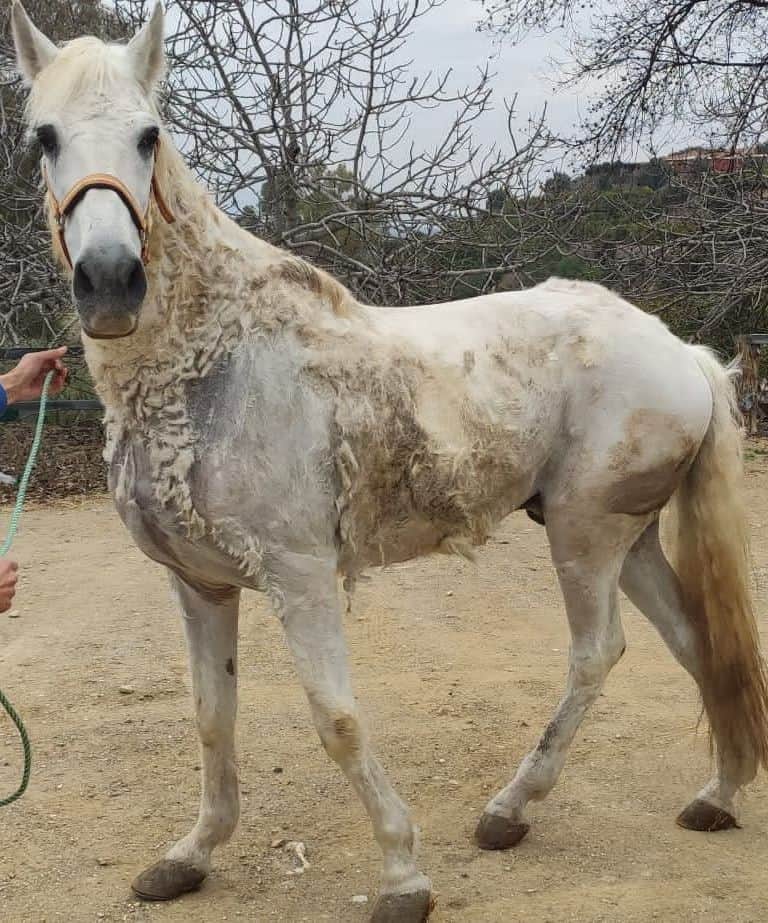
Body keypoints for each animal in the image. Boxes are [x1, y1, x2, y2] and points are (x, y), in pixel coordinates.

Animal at [11, 4, 768, 920]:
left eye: (148, 134)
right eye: (46, 137)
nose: (111, 281)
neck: (214, 360)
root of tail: (680, 350)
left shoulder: (298, 576)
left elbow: (337, 720)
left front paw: (404, 874)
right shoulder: (198, 584)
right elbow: (211, 717)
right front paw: (191, 854)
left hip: (586, 537)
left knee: (598, 654)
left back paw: (511, 808)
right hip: (632, 539)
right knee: (699, 644)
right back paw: (718, 793)